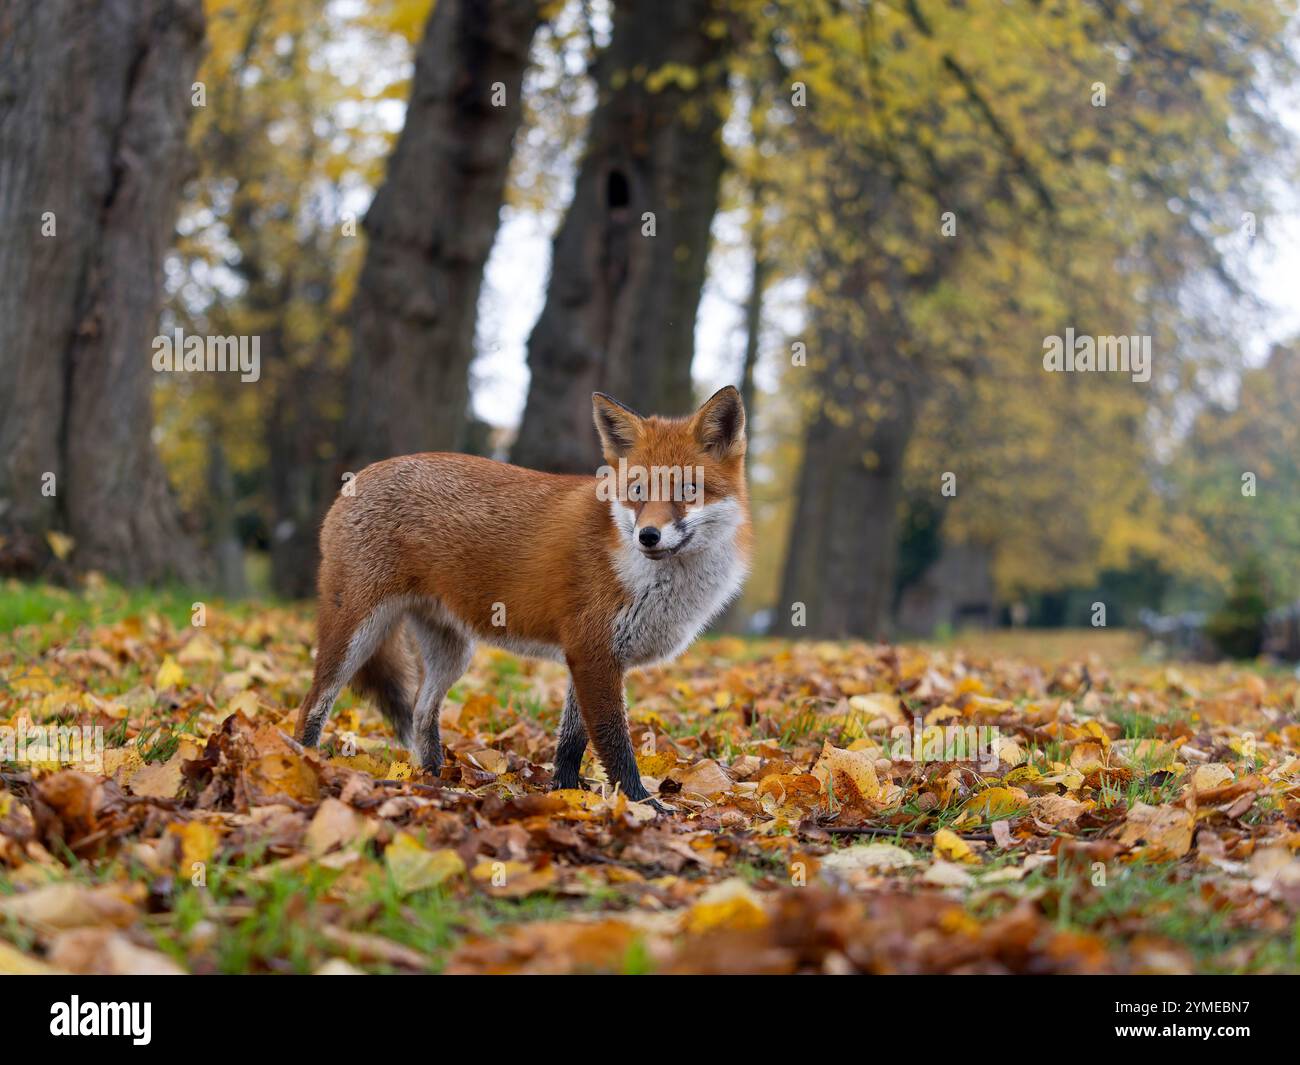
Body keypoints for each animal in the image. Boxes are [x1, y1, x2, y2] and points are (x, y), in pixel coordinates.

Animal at [294, 386, 751, 812]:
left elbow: (571, 742)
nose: (648, 536)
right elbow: (613, 742)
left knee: (422, 714)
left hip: (452, 652)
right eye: (636, 492)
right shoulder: (593, 653)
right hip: (354, 633)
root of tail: (362, 474)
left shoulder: (587, 656)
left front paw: (566, 795)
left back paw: (434, 779)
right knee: (312, 704)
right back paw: (300, 763)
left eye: (689, 489)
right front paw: (640, 804)